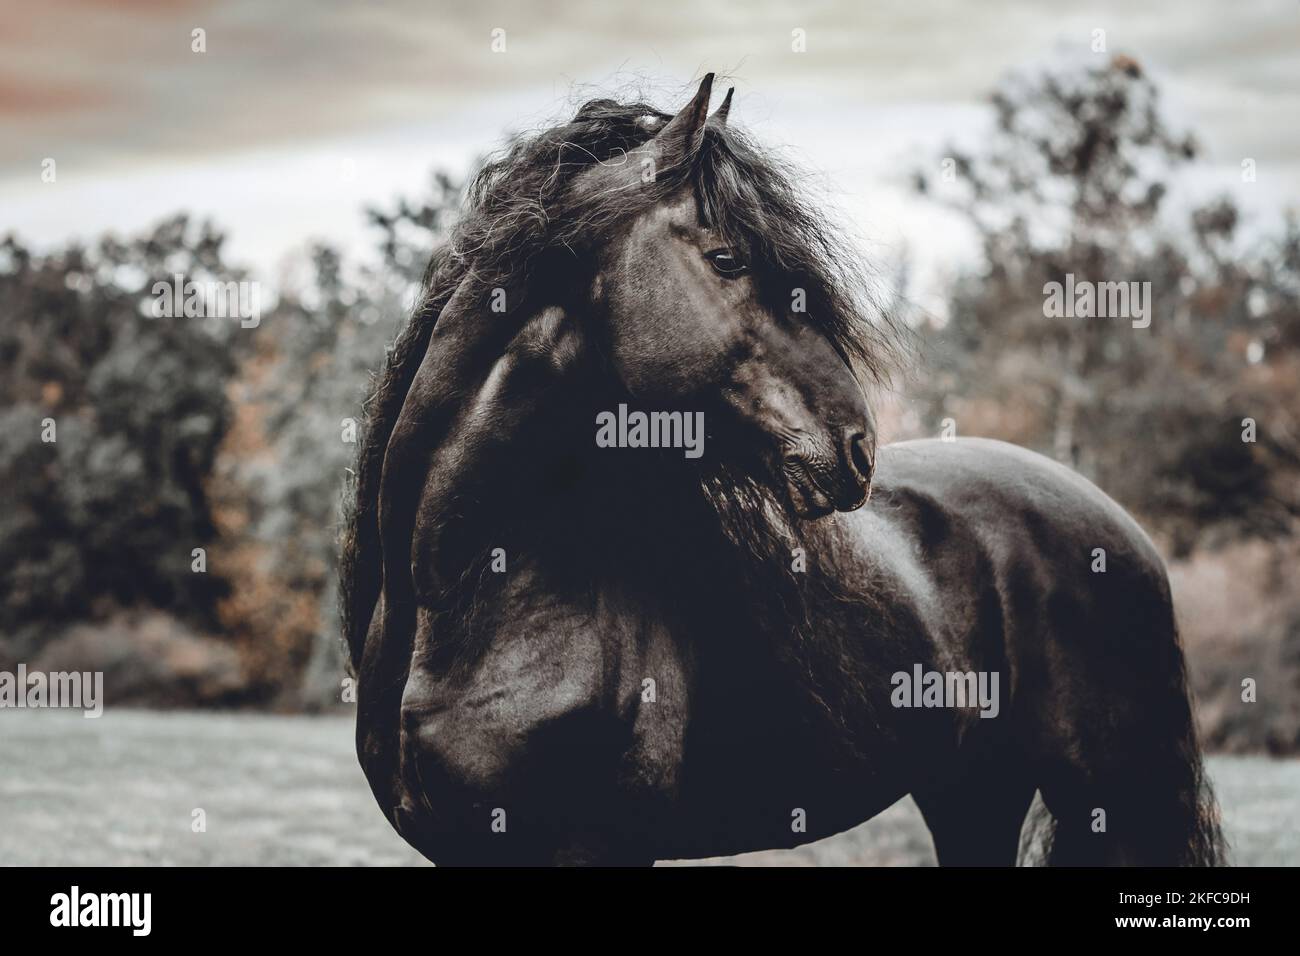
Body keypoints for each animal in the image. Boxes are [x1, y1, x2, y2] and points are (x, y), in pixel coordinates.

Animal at [340, 75, 1225, 866]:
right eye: (727, 258)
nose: (857, 446)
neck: (468, 595)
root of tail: (1118, 527)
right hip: (971, 793)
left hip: (1106, 793)